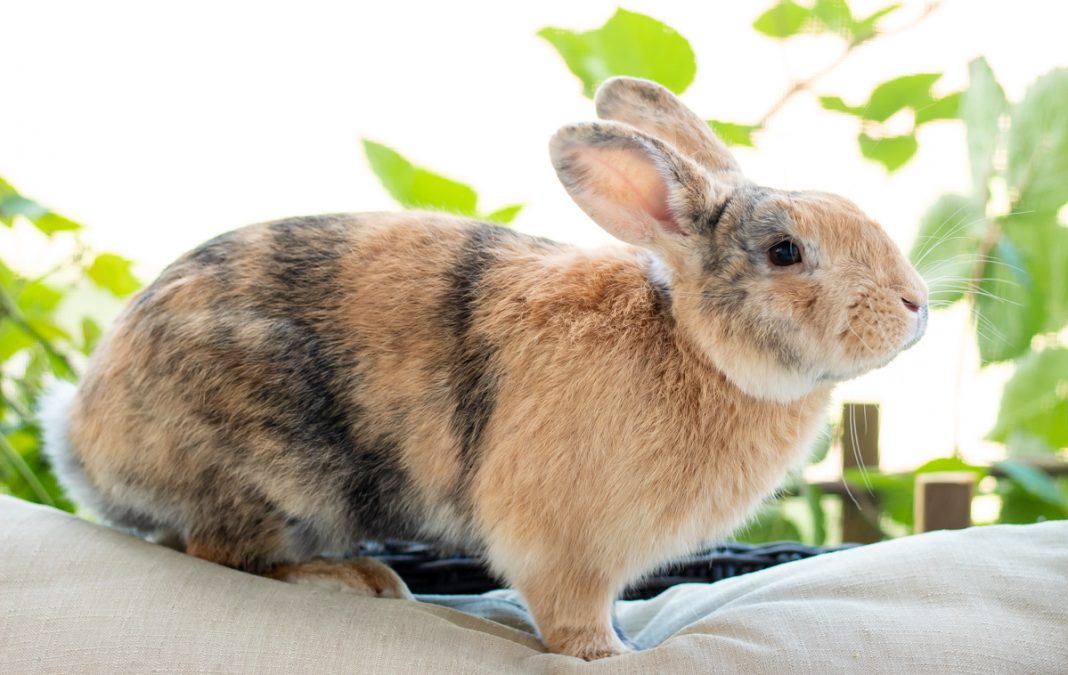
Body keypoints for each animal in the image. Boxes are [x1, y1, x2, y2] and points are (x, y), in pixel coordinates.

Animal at [41, 76, 928, 660]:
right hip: (273, 478)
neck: (691, 343)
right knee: (222, 553)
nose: (917, 307)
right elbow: (570, 618)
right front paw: (611, 654)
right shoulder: (565, 552)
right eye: (785, 252)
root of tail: (79, 435)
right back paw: (355, 578)